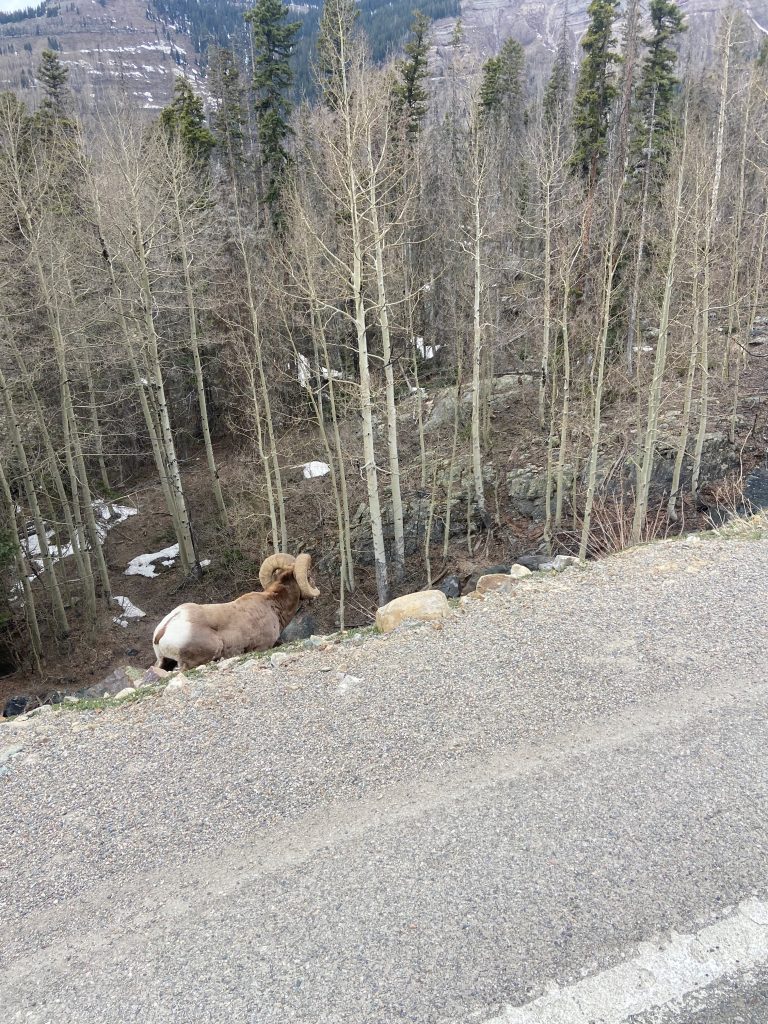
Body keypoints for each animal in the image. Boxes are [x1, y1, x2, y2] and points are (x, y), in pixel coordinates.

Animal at [152, 553, 320, 672]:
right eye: (309, 576)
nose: (316, 591)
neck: (273, 605)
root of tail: (162, 631)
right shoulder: (263, 647)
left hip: (163, 661)